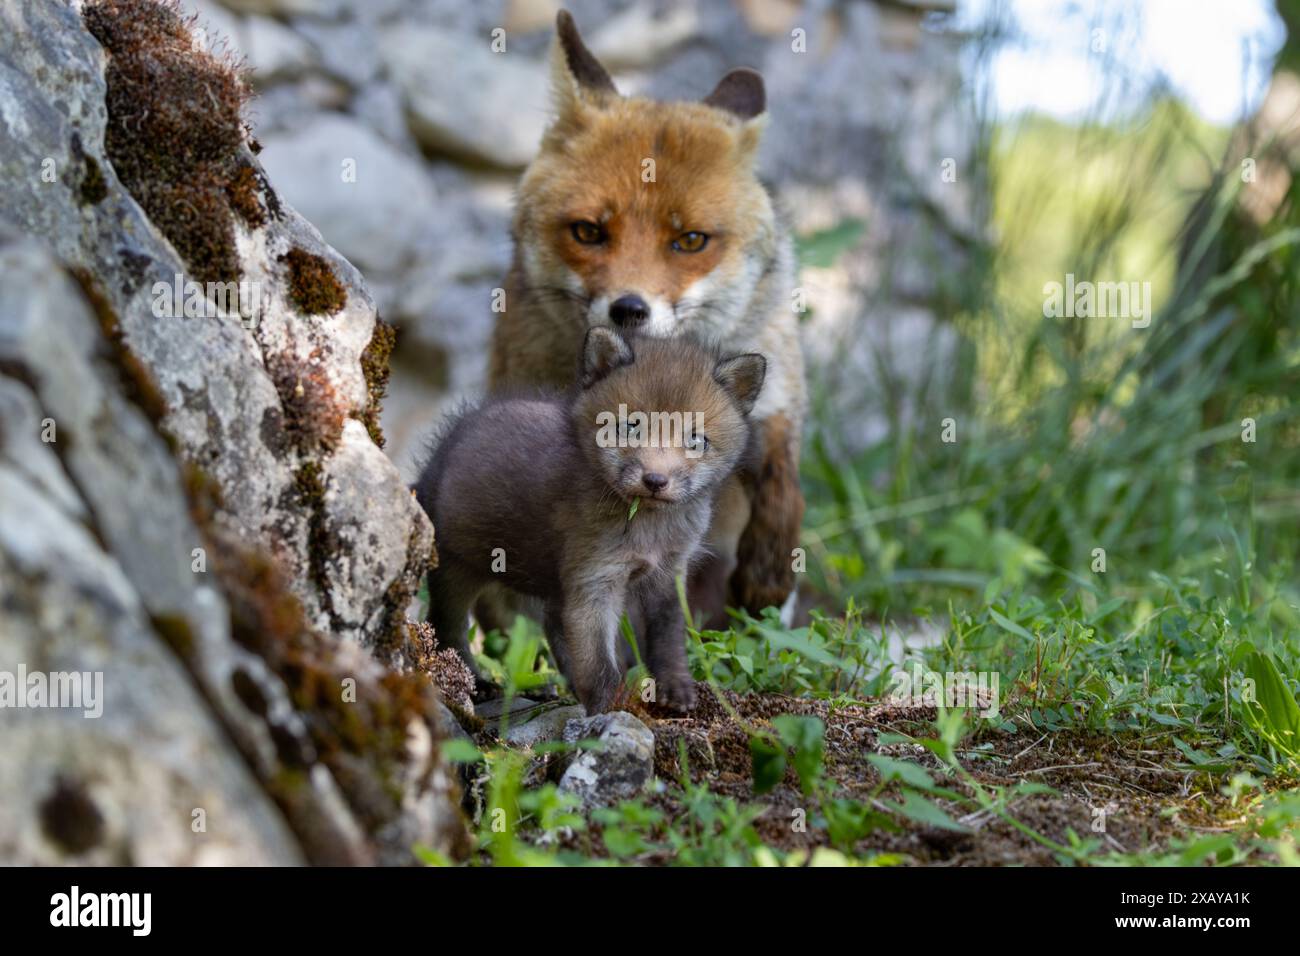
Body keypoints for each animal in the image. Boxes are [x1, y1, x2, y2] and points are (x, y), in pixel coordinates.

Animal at [415, 326, 766, 715]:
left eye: (695, 439)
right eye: (630, 427)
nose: (655, 481)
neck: (649, 531)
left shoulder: (667, 574)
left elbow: (668, 638)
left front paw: (675, 687)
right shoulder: (594, 580)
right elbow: (599, 663)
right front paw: (610, 710)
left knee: (549, 627)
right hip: (457, 569)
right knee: (447, 628)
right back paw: (478, 686)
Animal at [487, 10, 806, 626]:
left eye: (690, 240)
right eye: (588, 231)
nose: (628, 308)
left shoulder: (773, 386)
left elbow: (783, 476)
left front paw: (768, 574)